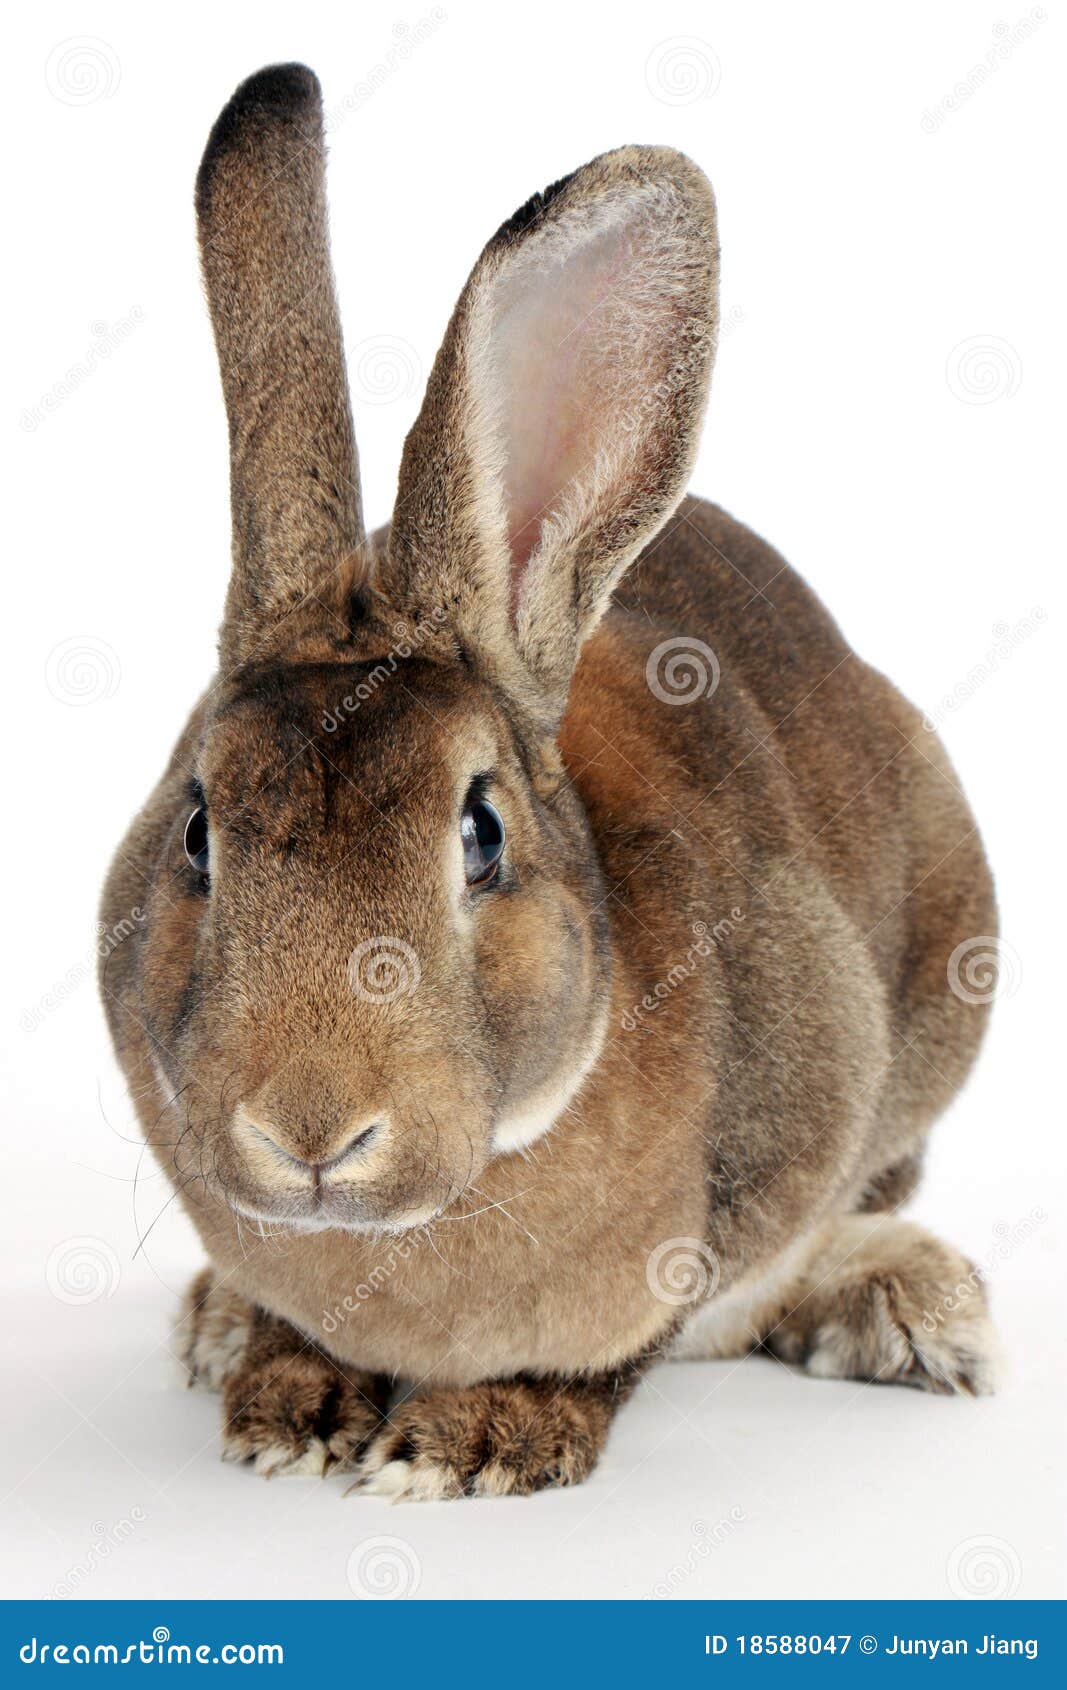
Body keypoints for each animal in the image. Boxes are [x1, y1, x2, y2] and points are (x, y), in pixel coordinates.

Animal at [99, 63, 999, 1500]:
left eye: (480, 832)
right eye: (196, 830)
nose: (309, 1131)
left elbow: (633, 1337)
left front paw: (471, 1440)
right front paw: (285, 1400)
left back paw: (914, 1313)